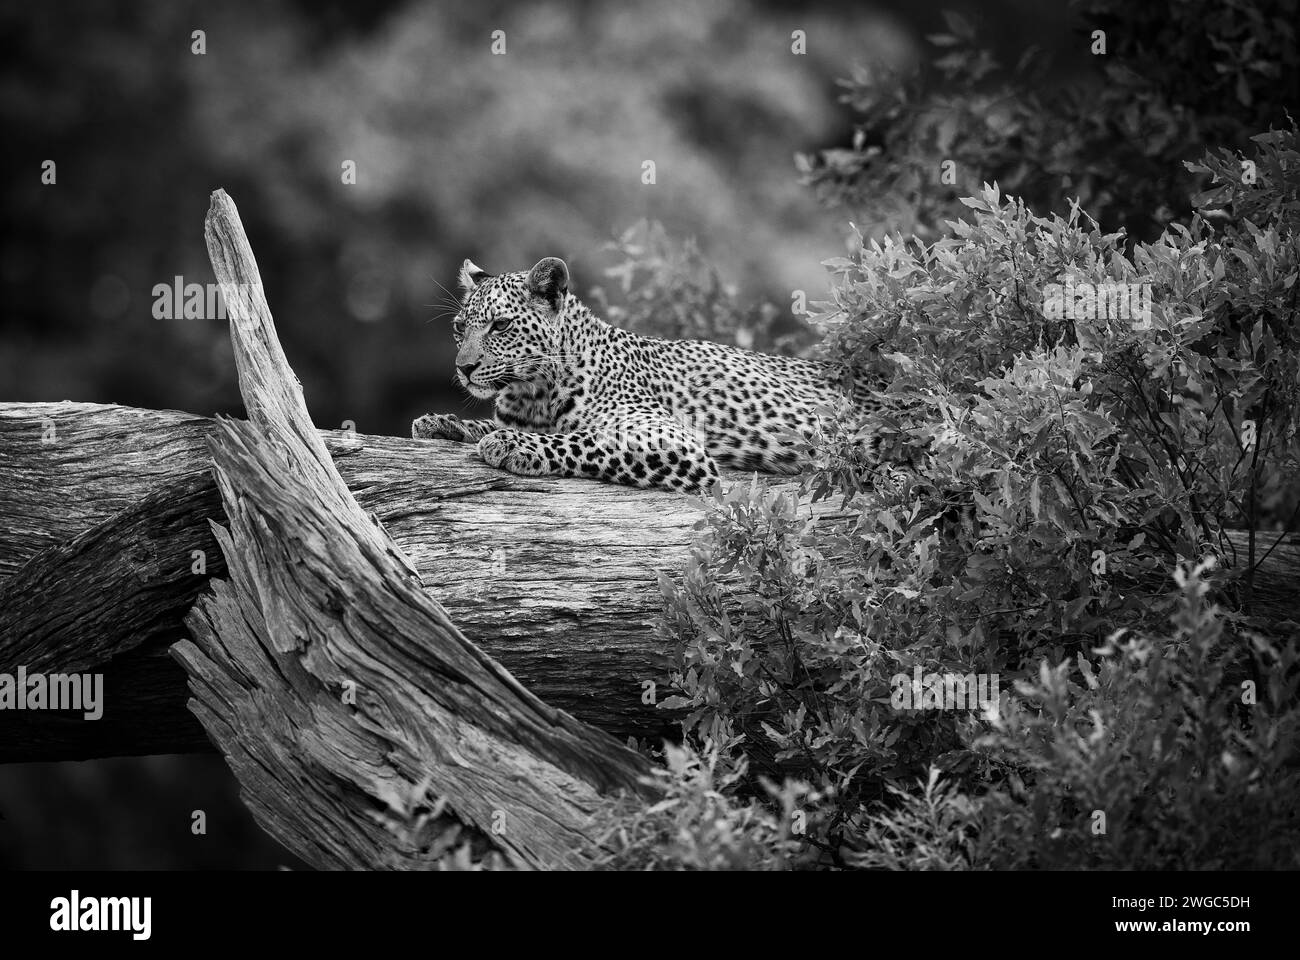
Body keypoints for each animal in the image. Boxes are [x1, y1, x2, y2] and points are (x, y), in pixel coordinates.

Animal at [411, 256, 880, 492]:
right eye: (459, 328)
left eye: (501, 326)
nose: (464, 368)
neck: (532, 392)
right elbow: (483, 424)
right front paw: (441, 422)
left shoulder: (671, 439)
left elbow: (585, 440)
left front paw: (512, 444)